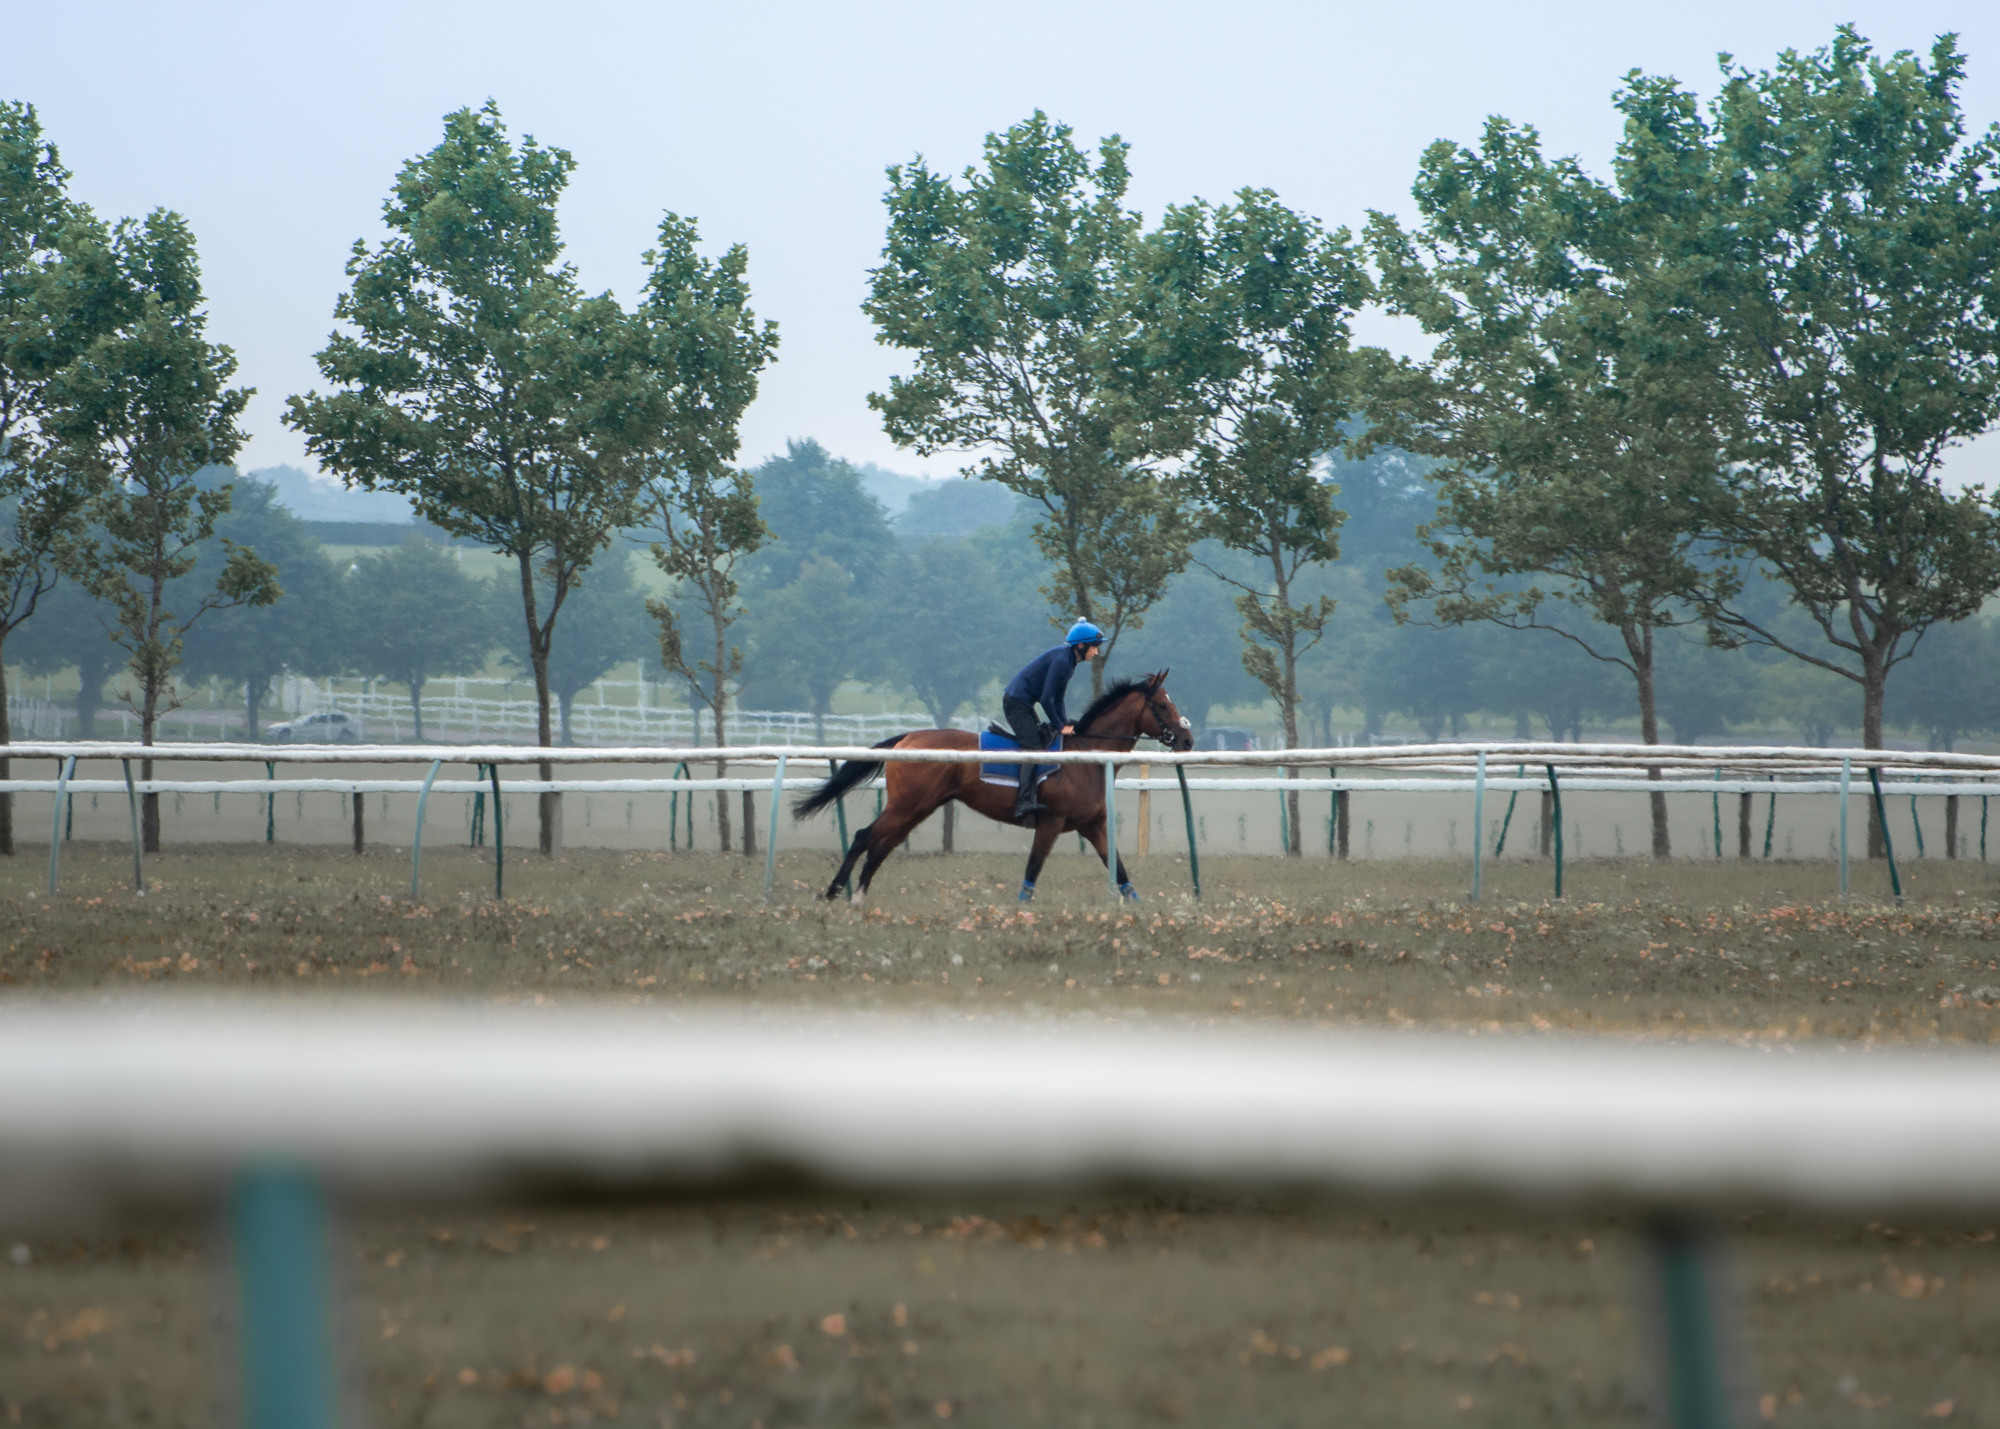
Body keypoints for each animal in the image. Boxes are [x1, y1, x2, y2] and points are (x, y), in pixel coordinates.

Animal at [793, 672, 1193, 904]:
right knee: (864, 837)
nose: (1187, 739)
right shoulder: (1050, 823)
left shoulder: (1093, 825)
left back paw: (859, 897)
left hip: (917, 808)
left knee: (881, 846)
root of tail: (907, 737)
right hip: (906, 806)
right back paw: (834, 893)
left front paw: (1140, 912)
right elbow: (1033, 869)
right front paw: (1020, 911)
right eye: (1162, 705)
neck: (1087, 757)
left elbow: (1121, 871)